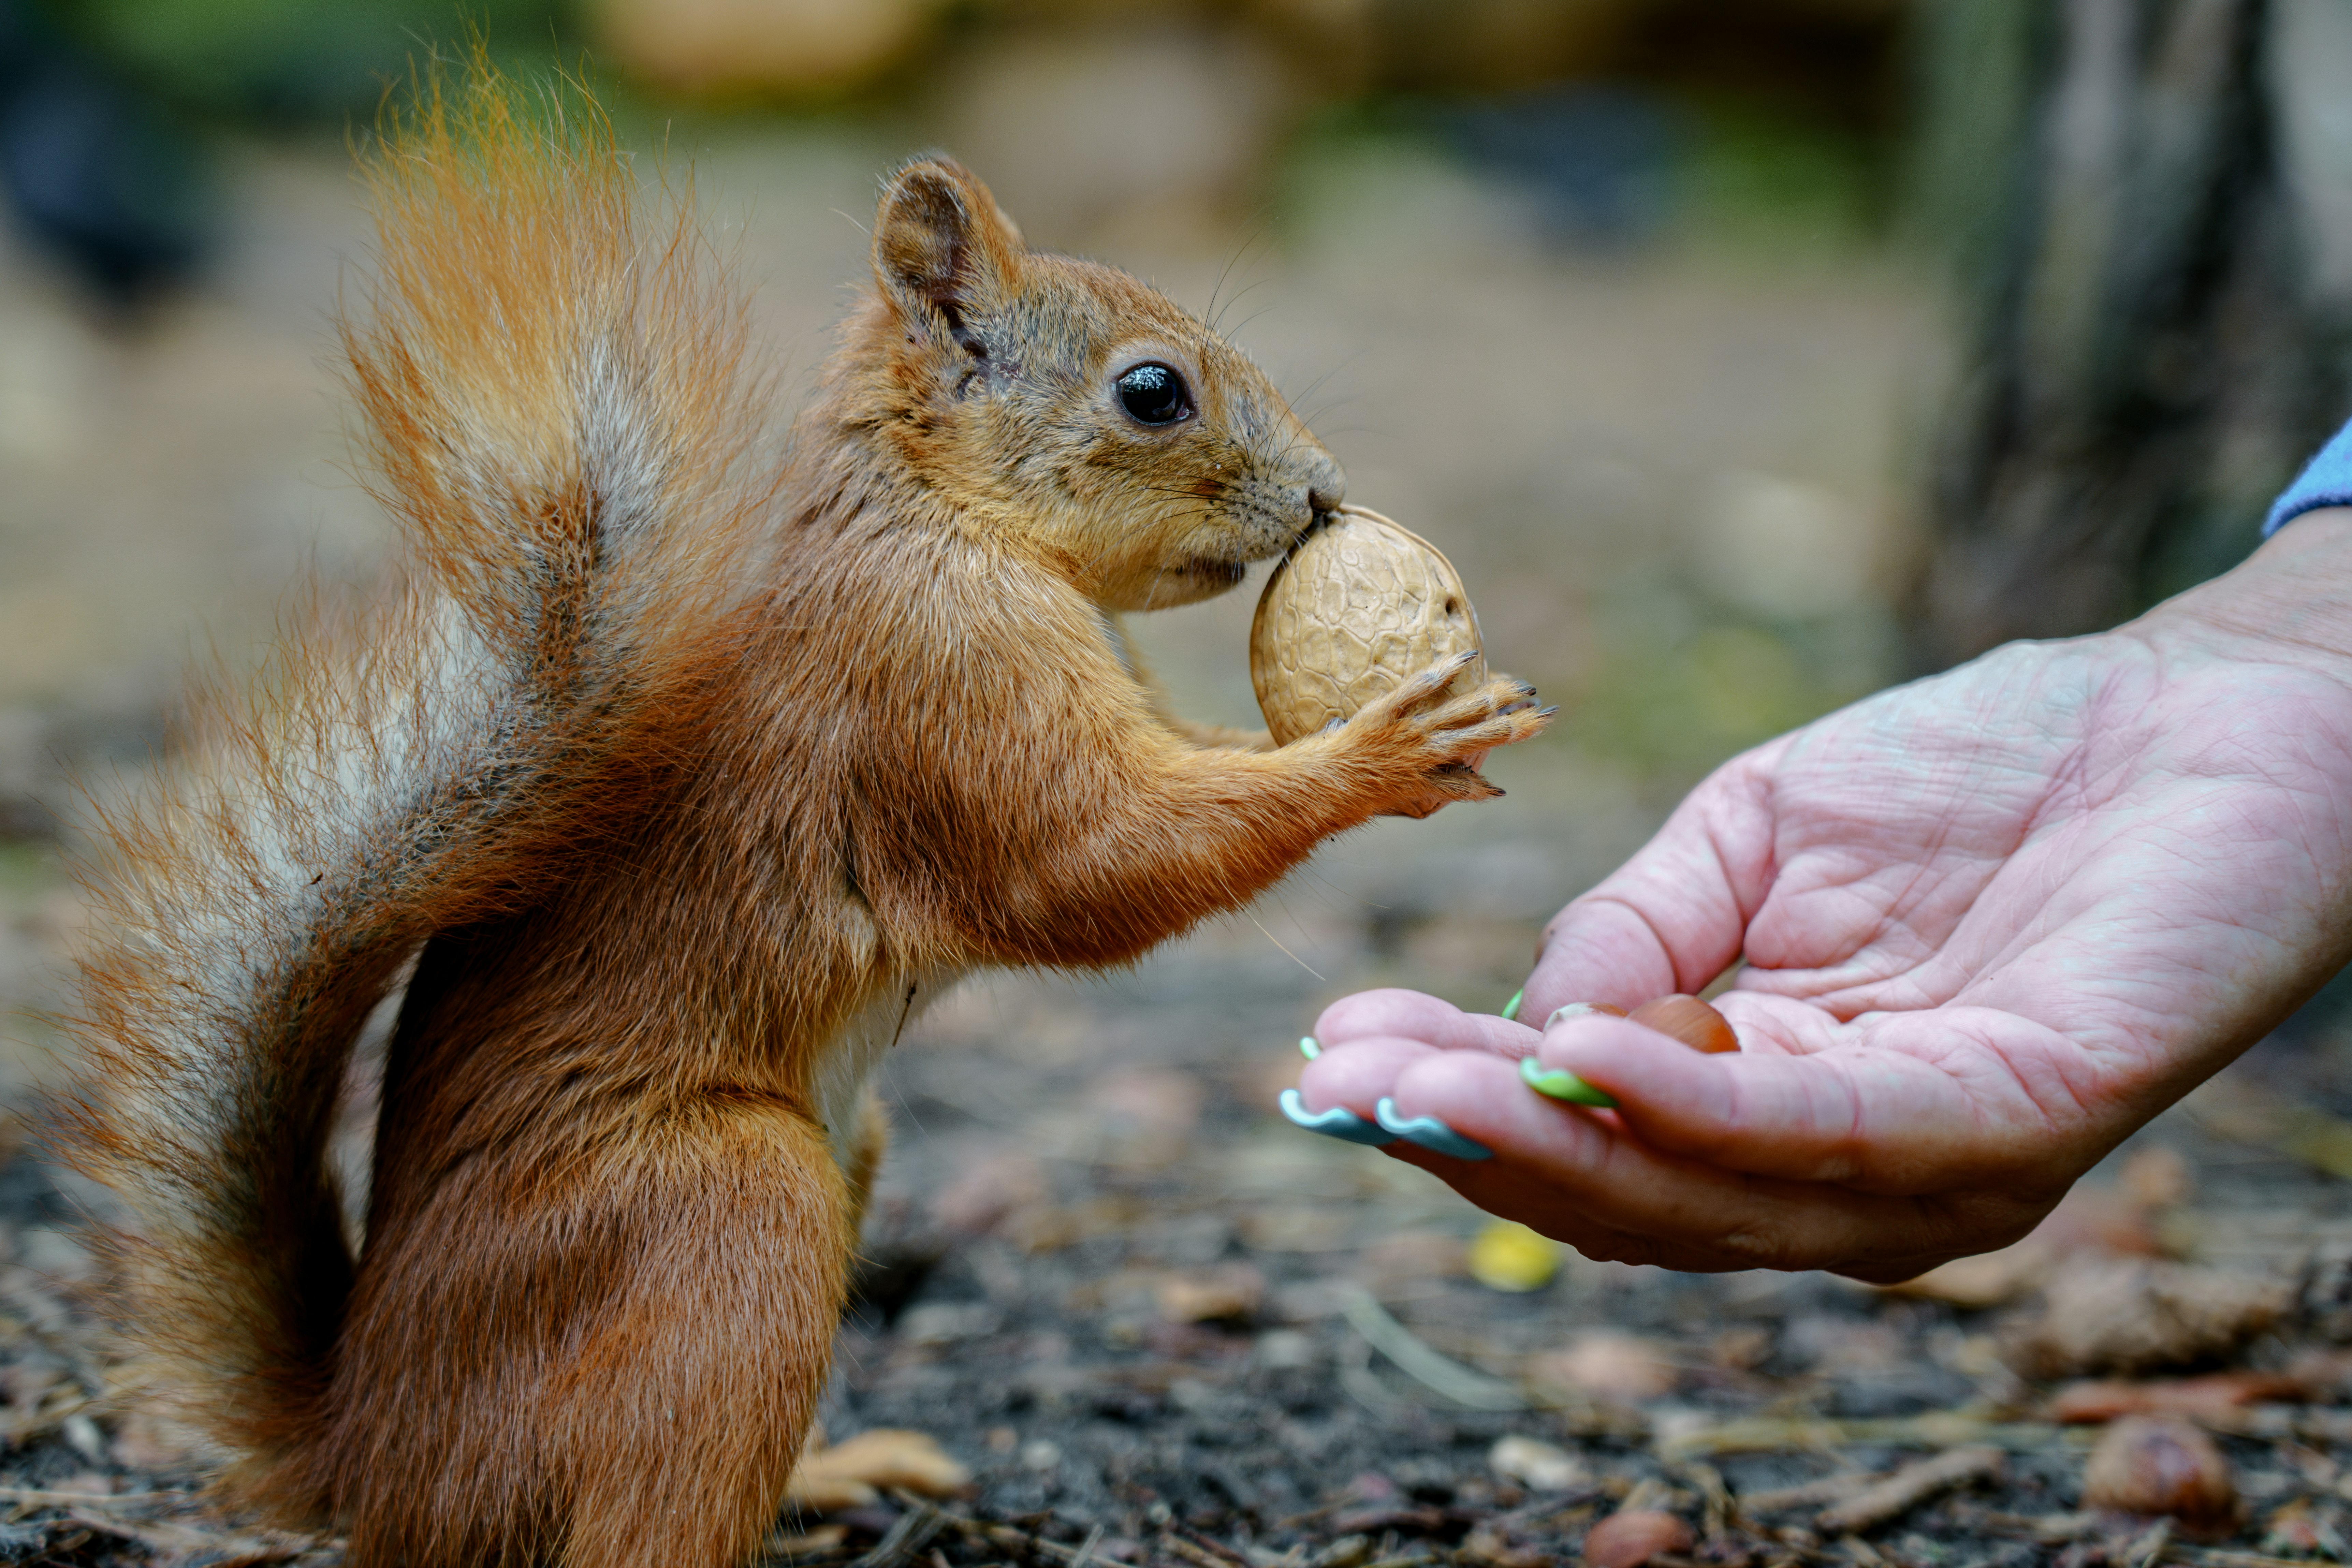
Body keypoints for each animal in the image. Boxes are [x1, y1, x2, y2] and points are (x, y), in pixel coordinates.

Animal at [64, 62, 1553, 1568]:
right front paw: (1383, 747)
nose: (1321, 492)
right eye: (1150, 391)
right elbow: (1089, 863)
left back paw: (840, 1472)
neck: (934, 513)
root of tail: (368, 1459)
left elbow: (1189, 769)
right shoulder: (936, 681)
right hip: (727, 1207)